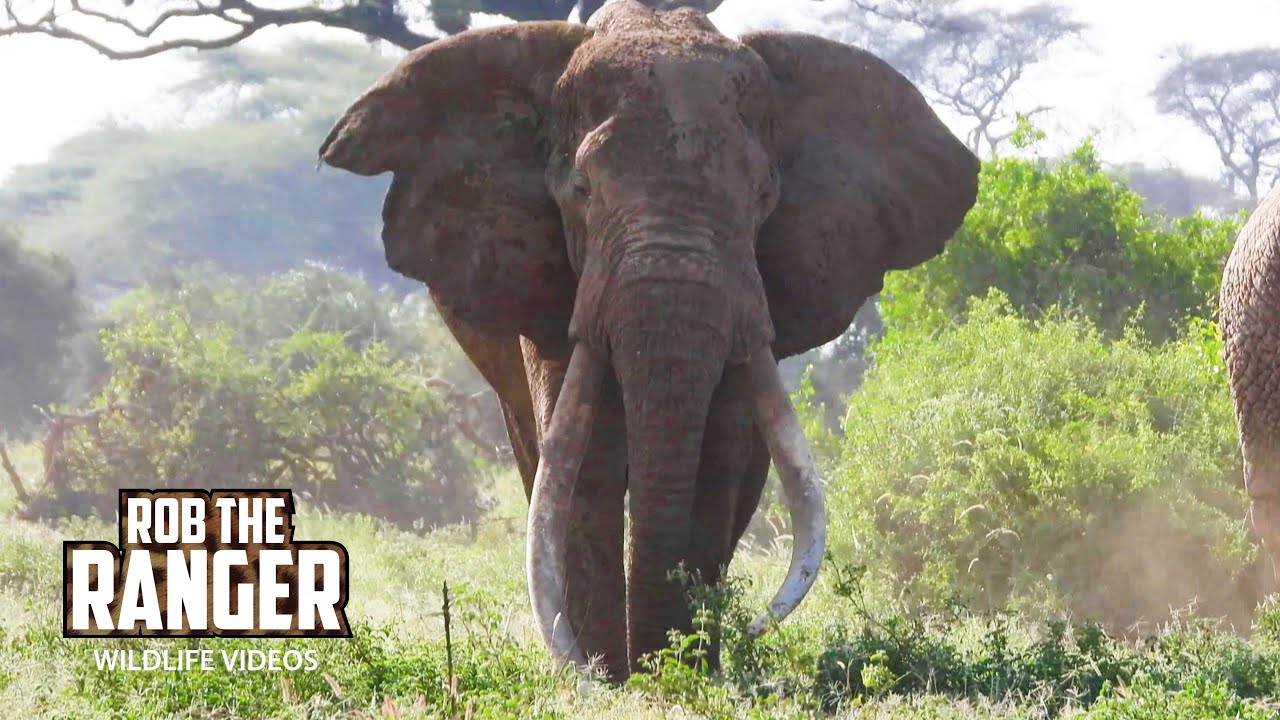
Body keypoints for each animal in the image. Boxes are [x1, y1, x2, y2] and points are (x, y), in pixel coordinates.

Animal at [319, 0, 979, 678]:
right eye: (581, 193)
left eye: (763, 196)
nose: (653, 663)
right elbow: (585, 458)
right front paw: (607, 678)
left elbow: (718, 450)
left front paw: (681, 672)